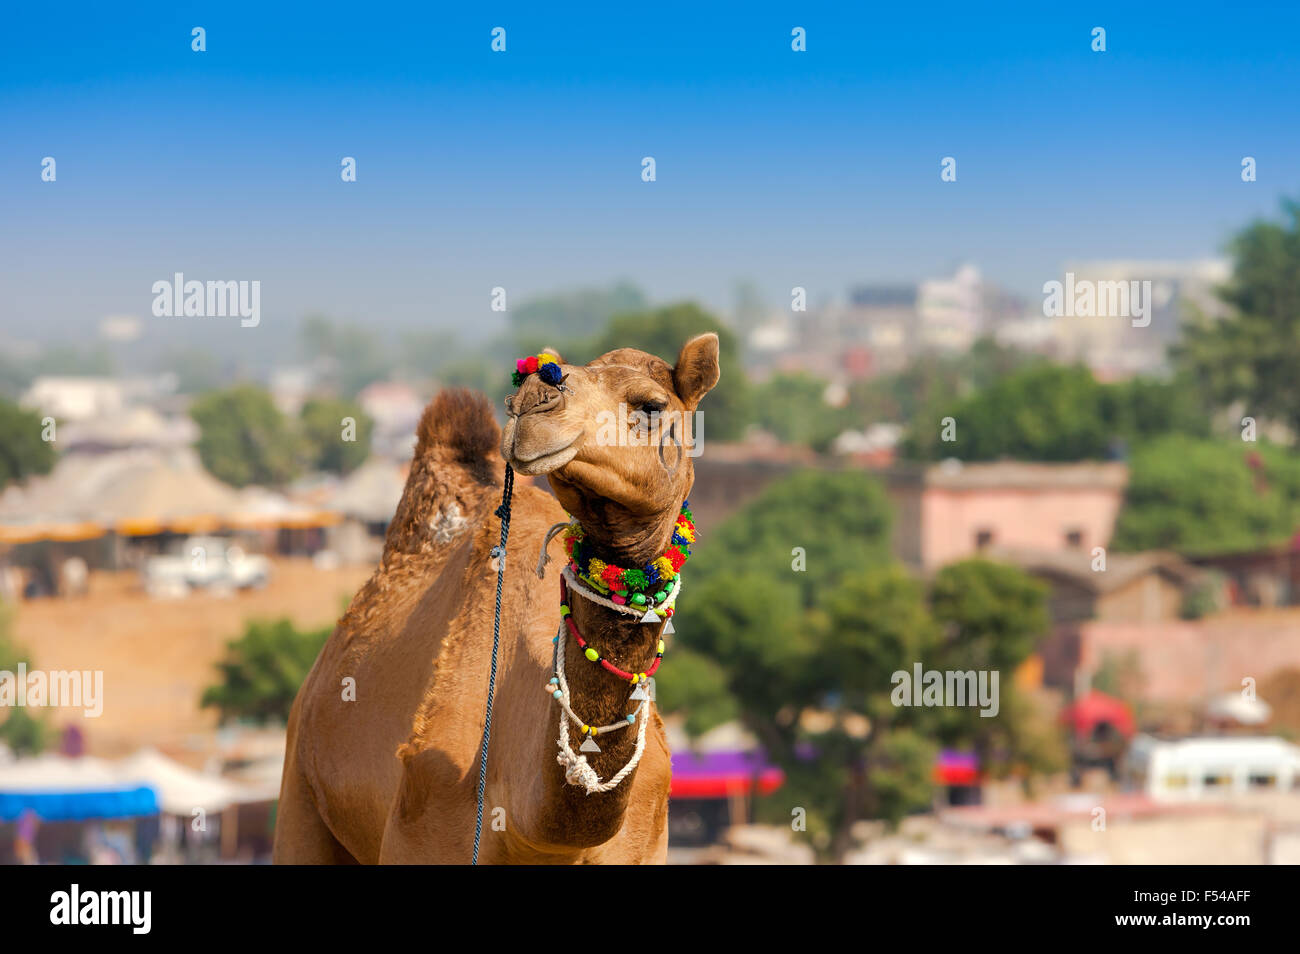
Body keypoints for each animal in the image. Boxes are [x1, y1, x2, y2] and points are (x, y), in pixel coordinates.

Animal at [273, 334, 720, 864]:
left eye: (651, 406)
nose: (533, 401)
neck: (541, 834)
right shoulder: (422, 821)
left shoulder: (644, 839)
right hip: (299, 786)